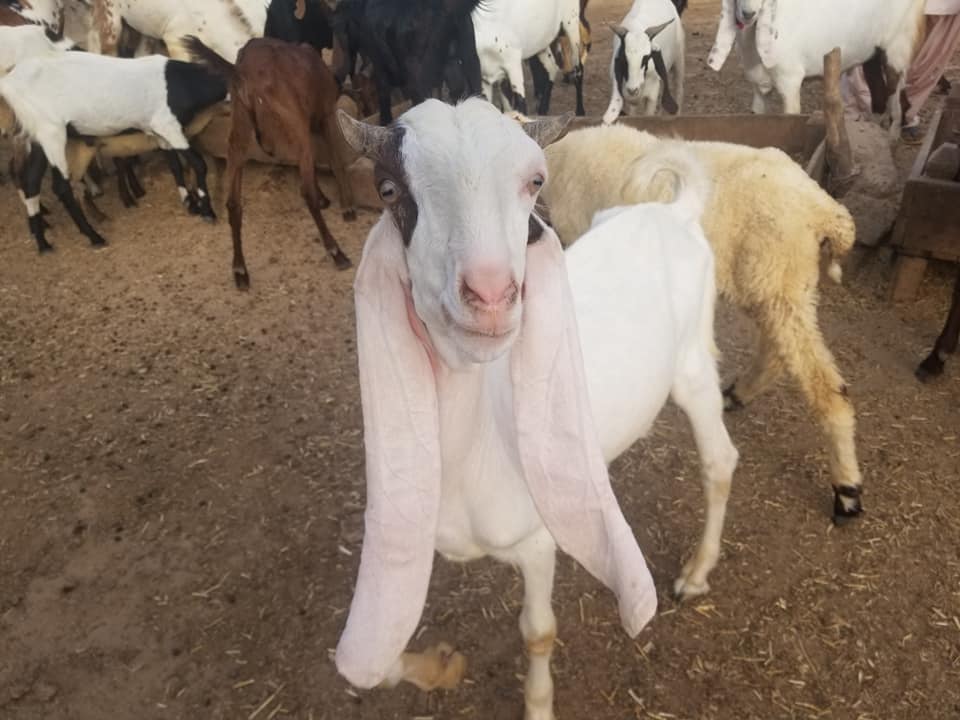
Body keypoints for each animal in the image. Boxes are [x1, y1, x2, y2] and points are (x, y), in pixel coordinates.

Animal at [0, 44, 226, 250]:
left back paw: (43, 243)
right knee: (61, 187)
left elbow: (175, 166)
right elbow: (198, 164)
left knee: (31, 183)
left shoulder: (159, 132)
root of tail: (10, 83)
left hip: (37, 137)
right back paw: (94, 237)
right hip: (51, 133)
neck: (180, 82)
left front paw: (191, 204)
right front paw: (207, 211)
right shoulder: (167, 125)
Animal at [187, 36, 356, 289]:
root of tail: (242, 72)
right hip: (295, 131)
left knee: (233, 204)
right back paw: (337, 253)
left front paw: (327, 198)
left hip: (238, 139)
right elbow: (335, 161)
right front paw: (347, 207)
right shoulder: (325, 116)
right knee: (305, 192)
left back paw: (240, 271)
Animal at [333, 98, 739, 717]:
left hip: (693, 363)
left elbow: (538, 632)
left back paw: (695, 574)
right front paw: (441, 668)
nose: (490, 296)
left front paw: (538, 704)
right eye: (387, 189)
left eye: (534, 183)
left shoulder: (538, 538)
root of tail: (676, 213)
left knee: (719, 461)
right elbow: (374, 663)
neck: (478, 433)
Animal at [541, 124, 864, 522]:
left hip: (778, 281)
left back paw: (847, 490)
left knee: (825, 385)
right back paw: (738, 393)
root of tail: (826, 210)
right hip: (774, 285)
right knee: (778, 351)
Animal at [707, 0, 925, 137]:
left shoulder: (790, 81)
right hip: (872, 53)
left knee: (894, 93)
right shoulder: (757, 86)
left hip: (897, 46)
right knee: (881, 92)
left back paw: (893, 137)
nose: (748, 14)